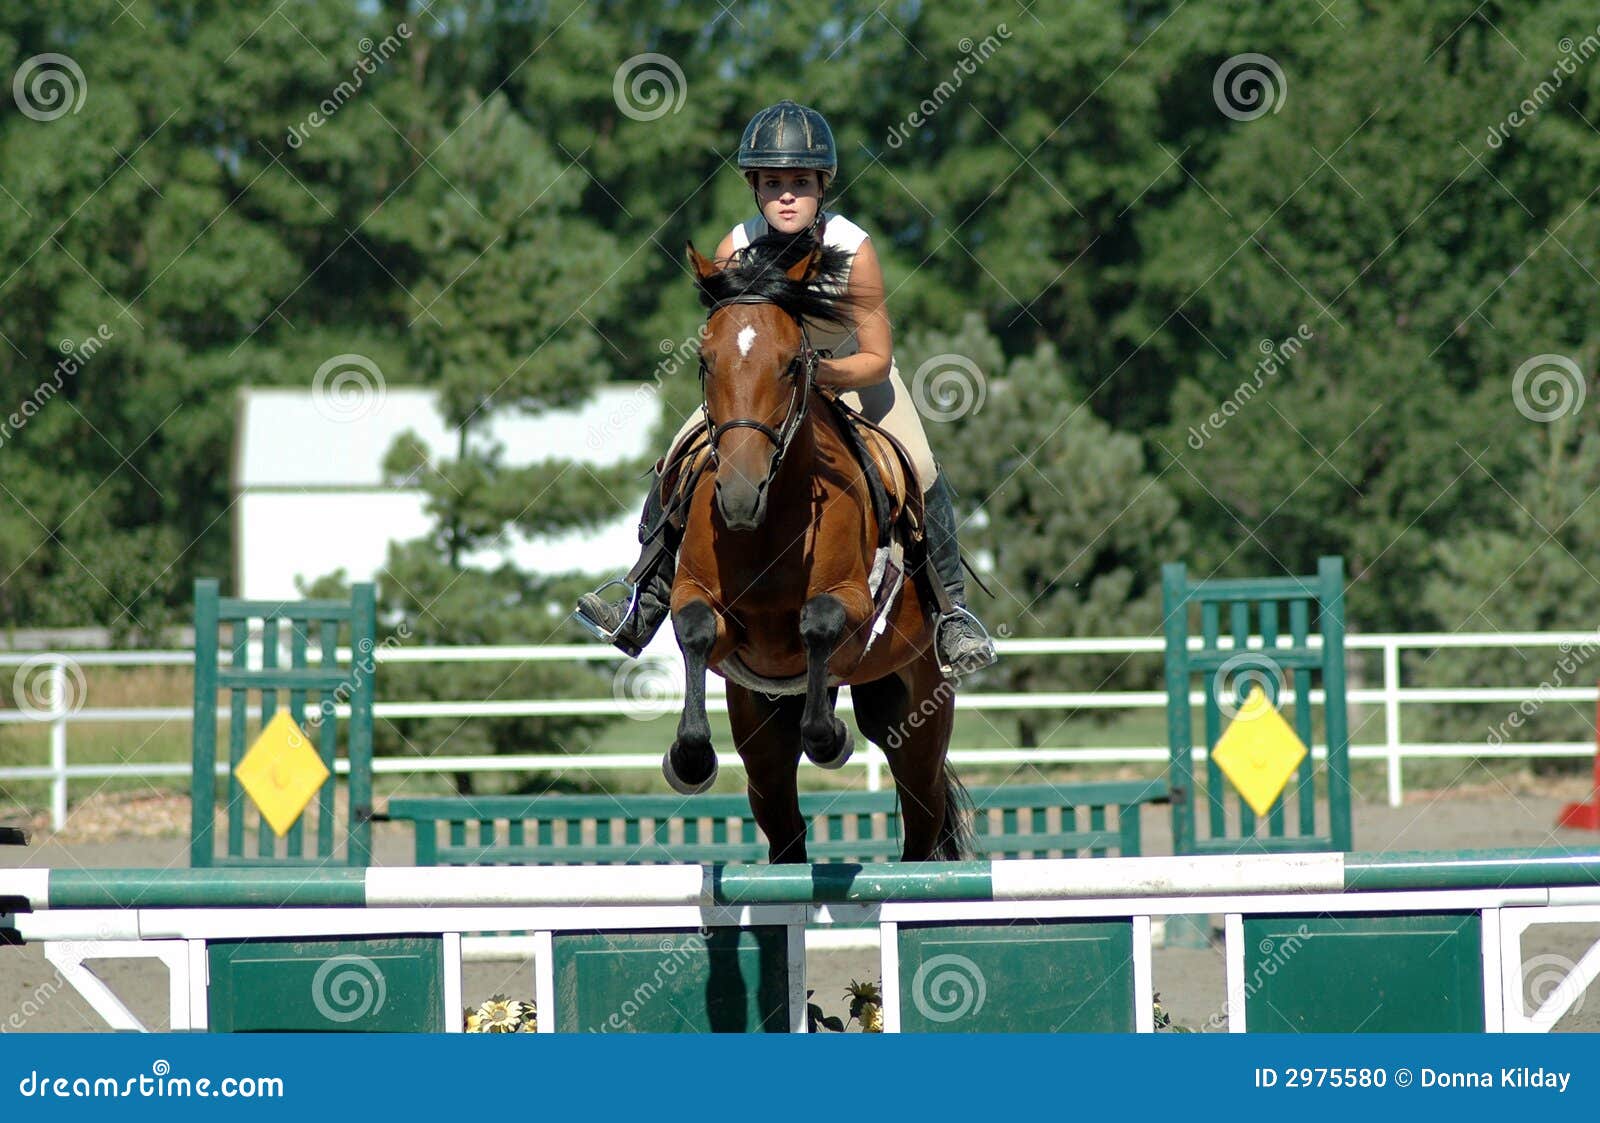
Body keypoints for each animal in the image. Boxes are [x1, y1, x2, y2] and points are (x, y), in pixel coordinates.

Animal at [660, 231, 972, 863]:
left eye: (791, 364)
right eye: (705, 362)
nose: (738, 496)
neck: (768, 526)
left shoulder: (853, 602)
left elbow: (819, 621)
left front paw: (829, 739)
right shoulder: (706, 605)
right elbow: (696, 629)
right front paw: (690, 758)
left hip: (918, 713)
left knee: (922, 817)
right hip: (760, 726)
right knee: (784, 826)